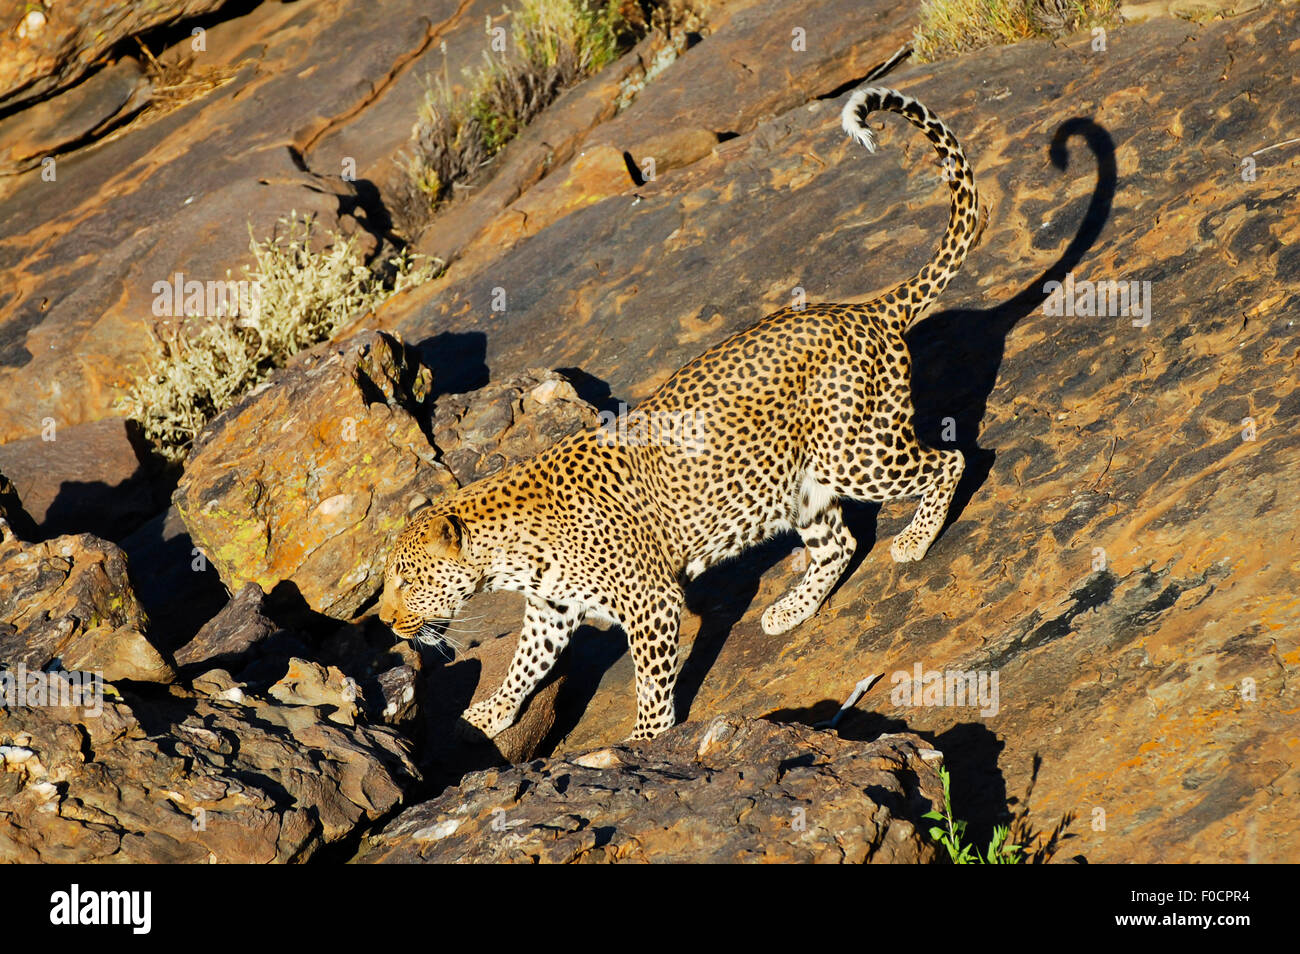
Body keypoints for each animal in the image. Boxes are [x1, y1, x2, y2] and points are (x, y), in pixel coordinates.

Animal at [379, 86, 982, 742]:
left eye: (408, 581)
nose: (385, 623)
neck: (506, 555)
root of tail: (862, 309)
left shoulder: (650, 603)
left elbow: (650, 683)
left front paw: (646, 742)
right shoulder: (551, 609)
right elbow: (525, 663)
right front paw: (491, 711)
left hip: (856, 453)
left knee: (952, 458)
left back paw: (916, 541)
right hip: (801, 484)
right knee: (839, 543)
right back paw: (789, 611)